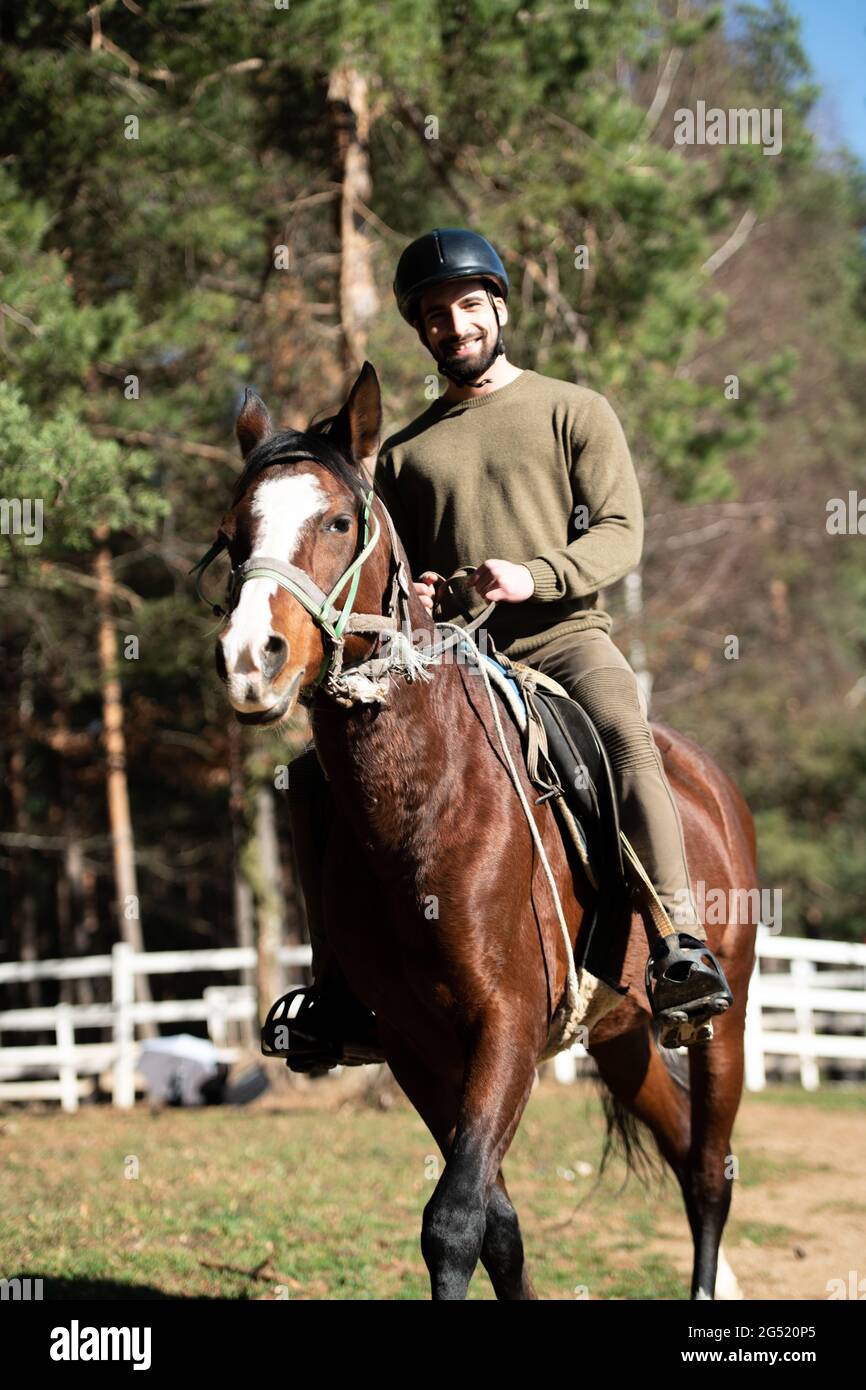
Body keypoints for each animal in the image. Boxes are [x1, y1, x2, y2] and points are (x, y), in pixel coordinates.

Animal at [209, 361, 758, 1300]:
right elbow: (496, 1224)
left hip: (724, 1023)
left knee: (709, 1169)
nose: (251, 659)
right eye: (236, 530)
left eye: (339, 520)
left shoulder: (505, 1025)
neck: (426, 801)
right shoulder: (416, 1043)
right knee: (683, 1145)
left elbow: (454, 1220)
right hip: (619, 1037)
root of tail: (712, 783)